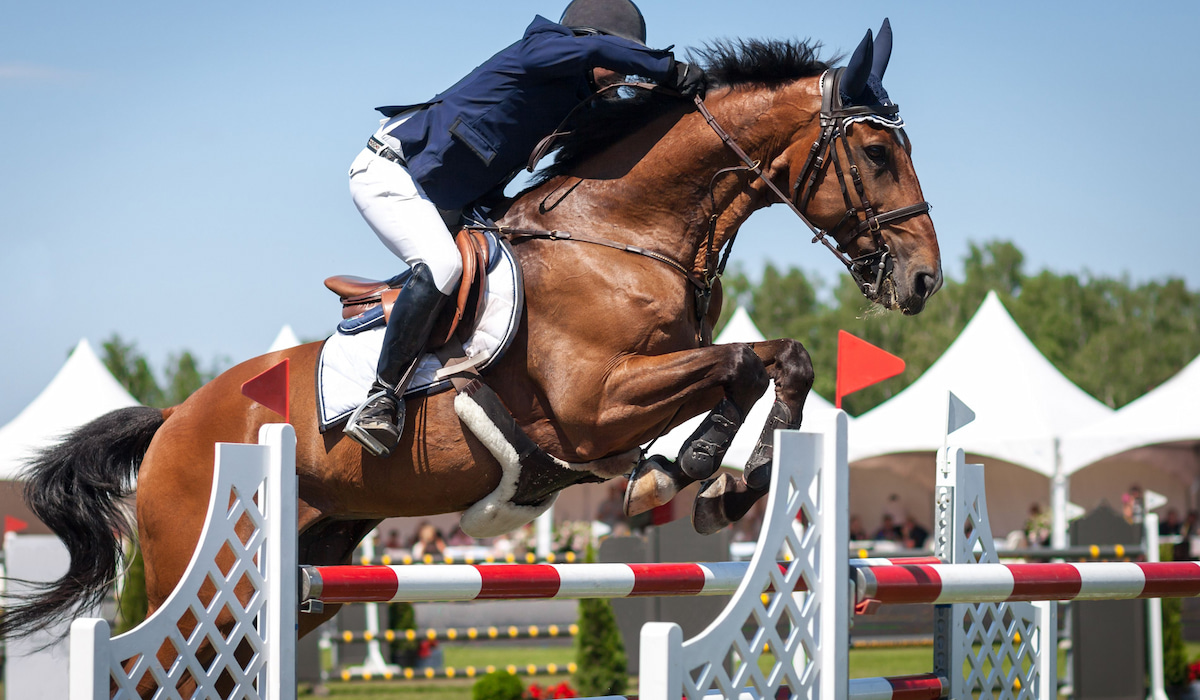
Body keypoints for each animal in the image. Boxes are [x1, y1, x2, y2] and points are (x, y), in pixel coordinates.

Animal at [5, 24, 940, 695]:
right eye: (876, 153)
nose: (923, 280)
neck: (622, 236)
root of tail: (175, 420)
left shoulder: (638, 393)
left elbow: (785, 358)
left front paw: (723, 484)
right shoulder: (595, 406)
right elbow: (745, 362)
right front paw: (693, 475)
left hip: (307, 571)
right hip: (206, 581)